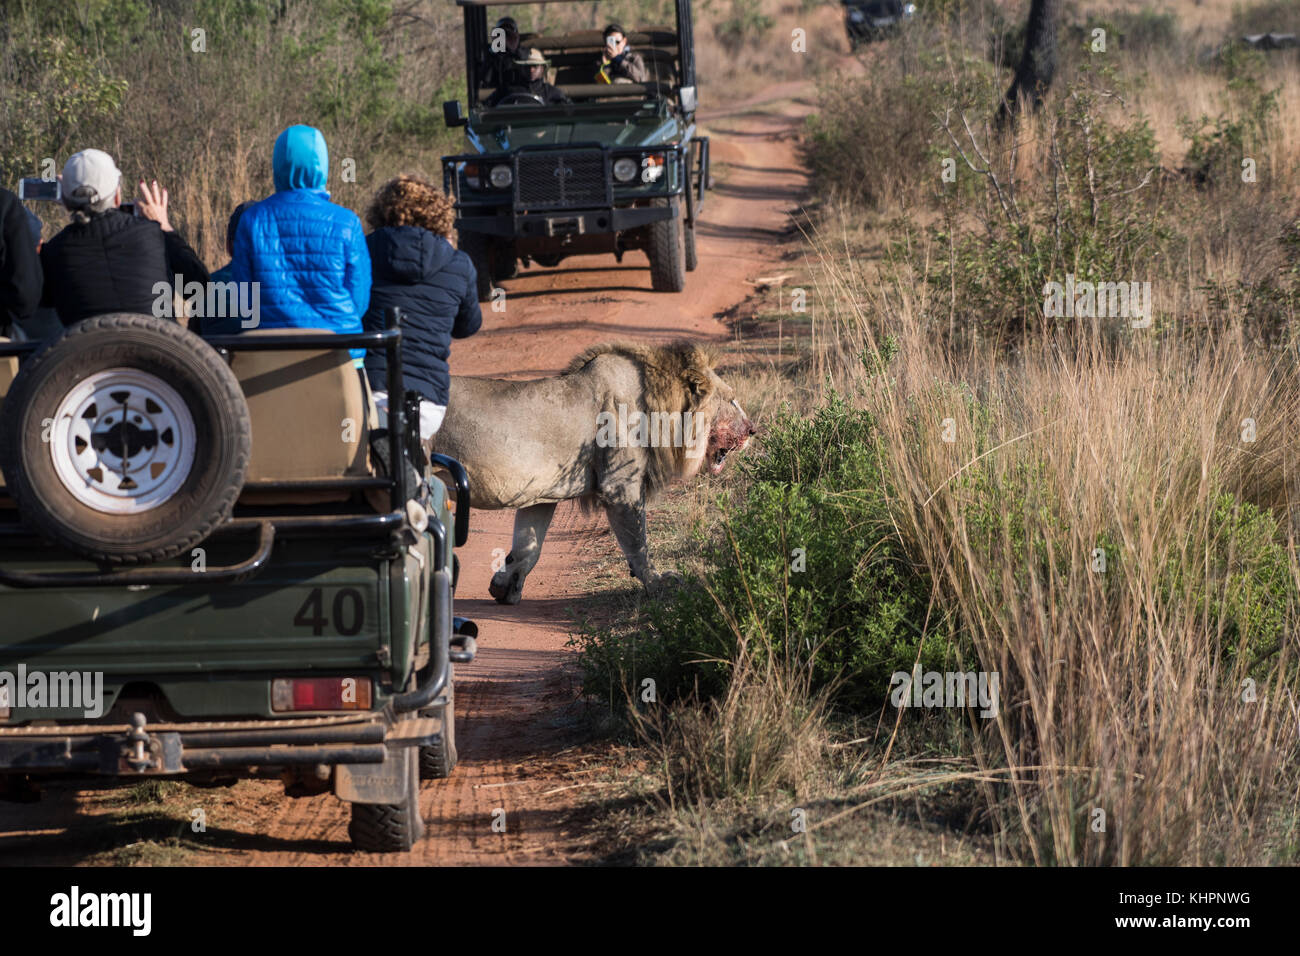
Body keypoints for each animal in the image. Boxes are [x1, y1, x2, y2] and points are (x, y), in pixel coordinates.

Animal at [432, 341, 755, 604]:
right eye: (732, 399)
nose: (753, 429)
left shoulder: (541, 496)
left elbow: (527, 547)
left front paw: (505, 587)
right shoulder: (621, 486)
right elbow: (638, 543)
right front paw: (658, 583)